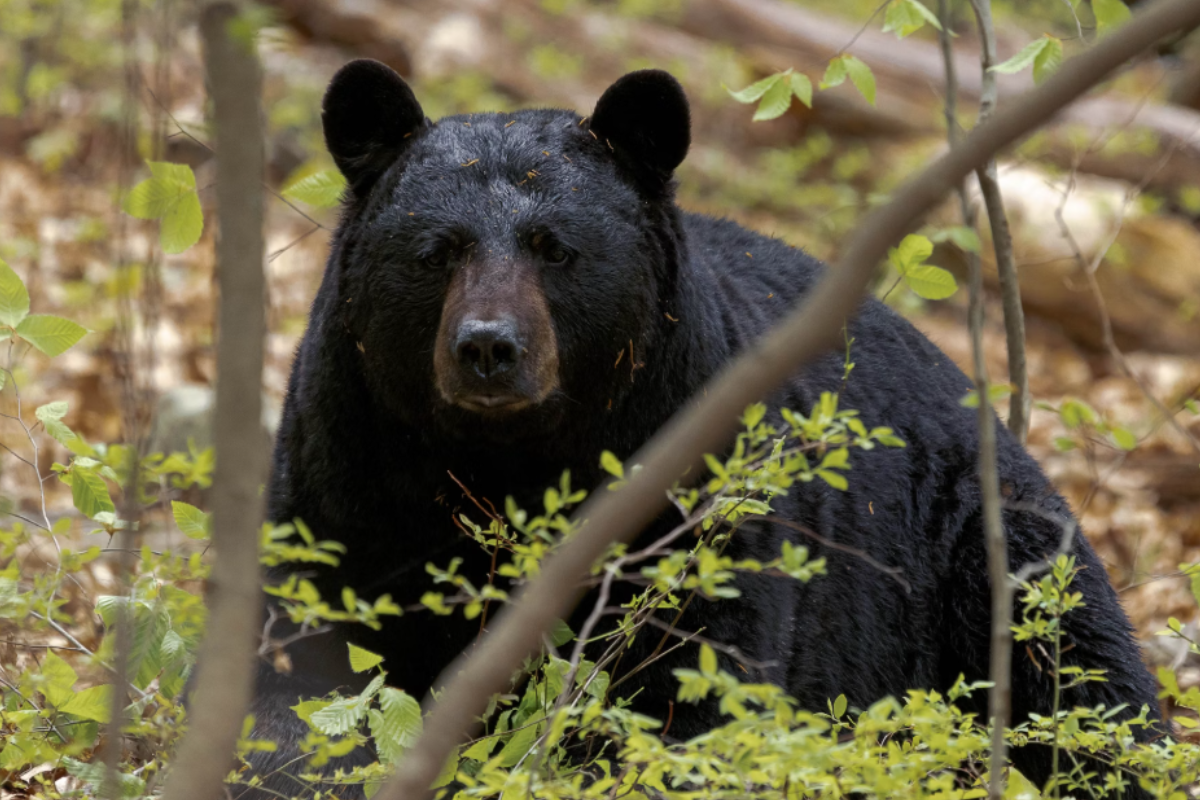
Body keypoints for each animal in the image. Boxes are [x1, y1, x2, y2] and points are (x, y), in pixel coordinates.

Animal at [247, 60, 1160, 798]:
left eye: (555, 248)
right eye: (437, 251)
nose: (488, 349)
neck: (509, 462)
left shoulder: (693, 487)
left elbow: (695, 683)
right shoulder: (348, 468)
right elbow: (302, 660)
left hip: (979, 545)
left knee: (1084, 678)